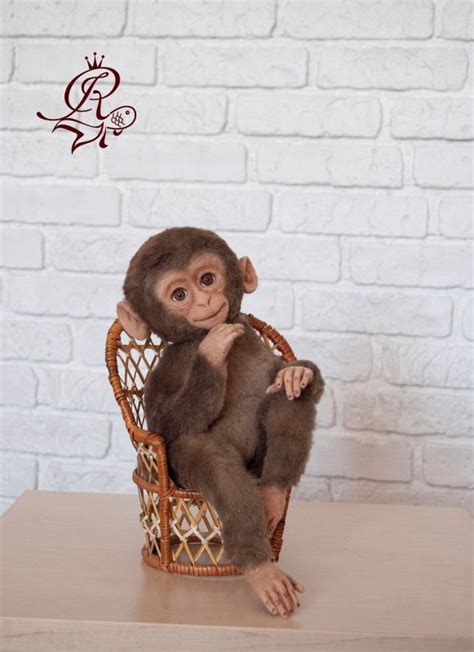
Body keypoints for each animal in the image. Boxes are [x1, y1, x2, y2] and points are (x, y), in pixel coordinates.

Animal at [117, 227, 325, 619]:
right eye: (179, 295)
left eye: (207, 279)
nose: (204, 301)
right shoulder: (172, 361)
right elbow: (165, 423)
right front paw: (213, 352)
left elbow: (284, 374)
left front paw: (300, 372)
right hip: (183, 473)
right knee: (207, 455)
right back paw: (260, 569)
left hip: (260, 463)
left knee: (288, 398)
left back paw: (274, 490)